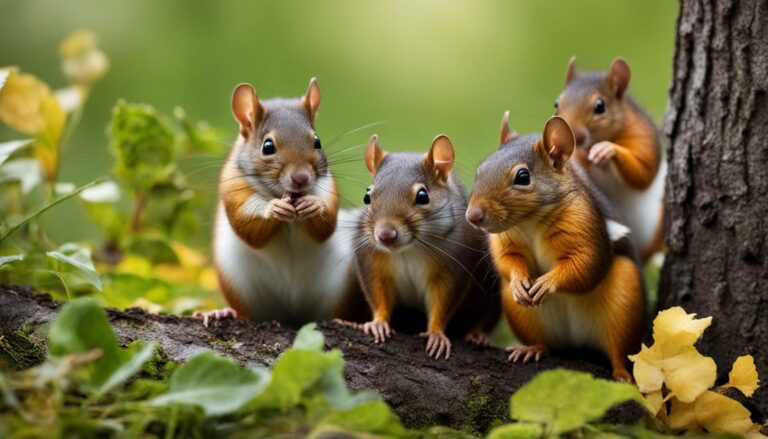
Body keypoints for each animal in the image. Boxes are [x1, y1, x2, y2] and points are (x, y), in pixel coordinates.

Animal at [196, 78, 361, 327]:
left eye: (317, 141)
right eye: (267, 146)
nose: (301, 177)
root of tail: (290, 316)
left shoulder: (328, 188)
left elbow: (326, 225)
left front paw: (314, 205)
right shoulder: (233, 187)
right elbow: (248, 228)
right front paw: (272, 209)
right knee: (244, 314)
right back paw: (222, 313)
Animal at [350, 134, 500, 359]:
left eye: (423, 196)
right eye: (367, 196)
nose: (385, 236)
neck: (410, 249)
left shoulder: (453, 264)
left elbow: (443, 301)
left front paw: (436, 334)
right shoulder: (371, 259)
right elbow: (377, 293)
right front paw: (378, 323)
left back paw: (477, 335)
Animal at [465, 114, 645, 381]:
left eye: (522, 177)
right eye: (480, 170)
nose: (473, 216)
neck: (529, 223)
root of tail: (576, 343)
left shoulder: (584, 228)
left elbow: (585, 264)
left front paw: (546, 283)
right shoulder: (506, 242)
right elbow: (508, 259)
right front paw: (519, 282)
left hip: (625, 301)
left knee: (620, 351)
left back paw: (621, 373)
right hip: (522, 315)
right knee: (544, 343)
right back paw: (531, 348)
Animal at [554, 57, 665, 262]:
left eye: (600, 106)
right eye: (556, 103)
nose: (569, 135)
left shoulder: (643, 135)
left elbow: (644, 173)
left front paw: (607, 149)